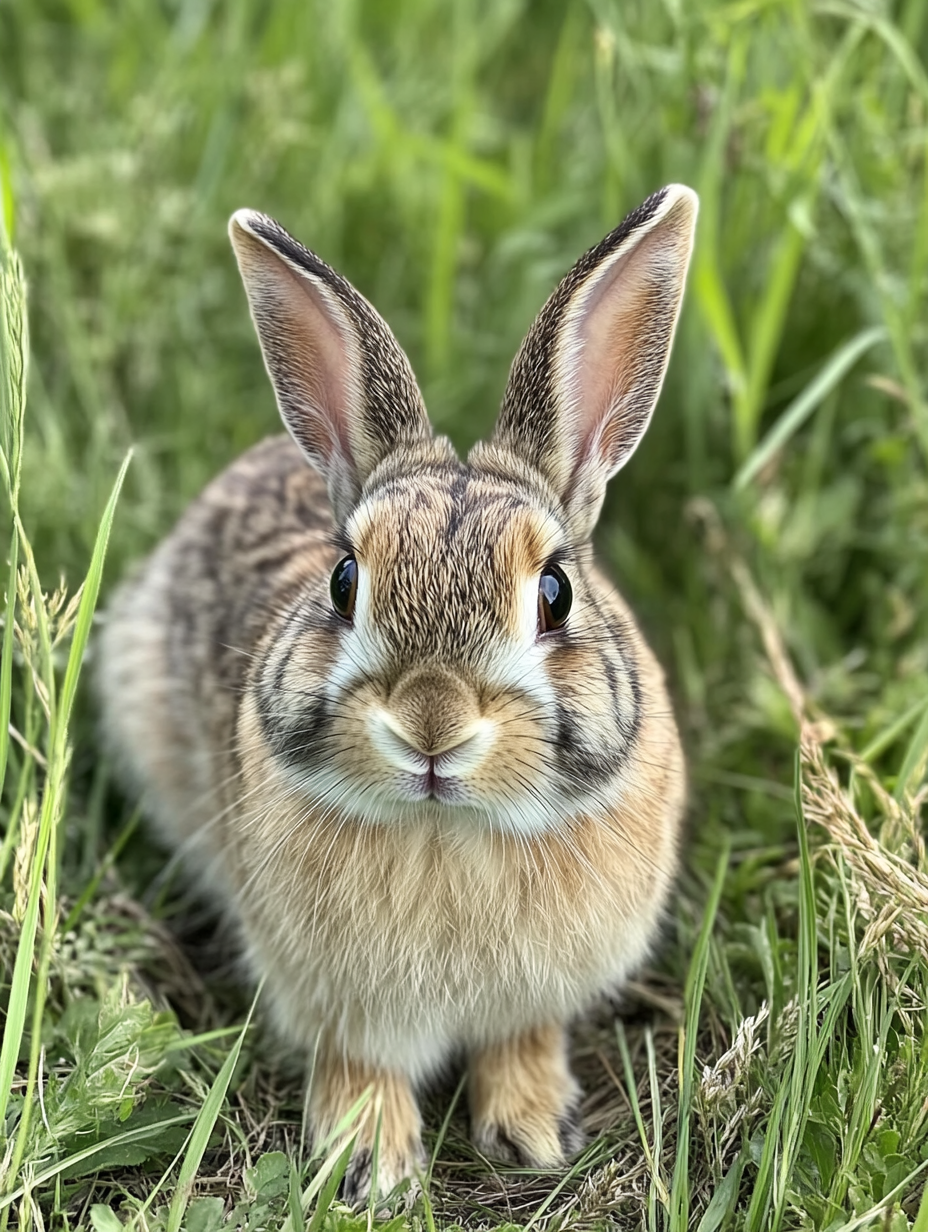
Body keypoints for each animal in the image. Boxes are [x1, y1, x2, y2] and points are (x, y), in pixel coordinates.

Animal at [98, 183, 697, 1203]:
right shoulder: (335, 997)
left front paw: (534, 1128)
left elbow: (520, 1041)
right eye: (344, 582)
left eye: (555, 593)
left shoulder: (533, 997)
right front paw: (370, 1160)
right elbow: (362, 1064)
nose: (432, 726)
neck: (447, 831)